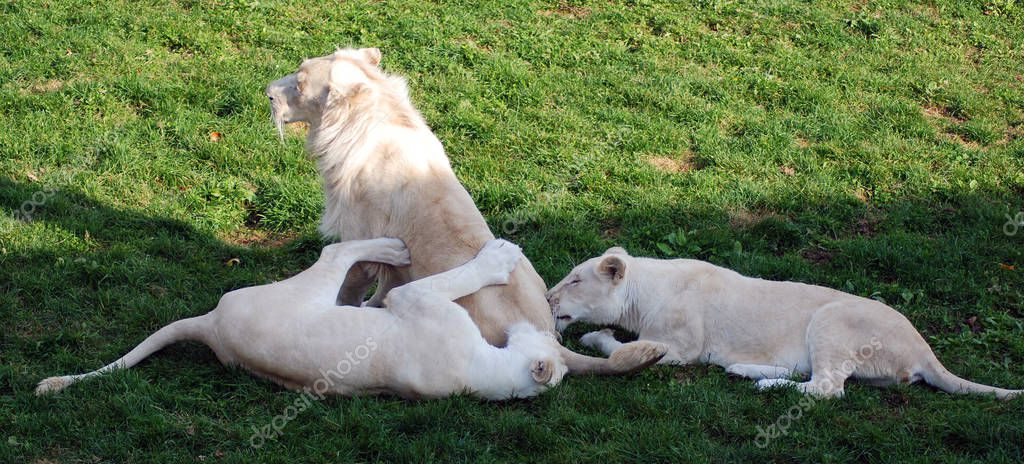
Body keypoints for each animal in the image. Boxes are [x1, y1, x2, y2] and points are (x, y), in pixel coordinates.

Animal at [37, 238, 569, 400]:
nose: (542, 328)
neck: (486, 376)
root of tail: (211, 325)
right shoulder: (413, 297)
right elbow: (460, 275)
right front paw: (500, 256)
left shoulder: (413, 300)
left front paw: (499, 256)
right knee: (339, 251)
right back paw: (393, 250)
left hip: (307, 290)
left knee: (336, 252)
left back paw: (391, 249)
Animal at [264, 48, 666, 375]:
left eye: (299, 83)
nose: (266, 93)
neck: (375, 117)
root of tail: (548, 339)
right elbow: (387, 284)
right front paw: (374, 307)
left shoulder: (360, 237)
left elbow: (351, 286)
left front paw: (347, 311)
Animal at [546, 247, 1022, 399]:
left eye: (574, 280)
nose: (548, 297)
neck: (640, 295)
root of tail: (925, 350)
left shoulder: (680, 349)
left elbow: (625, 348)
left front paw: (600, 335)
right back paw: (742, 369)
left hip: (832, 320)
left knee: (828, 388)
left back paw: (758, 382)